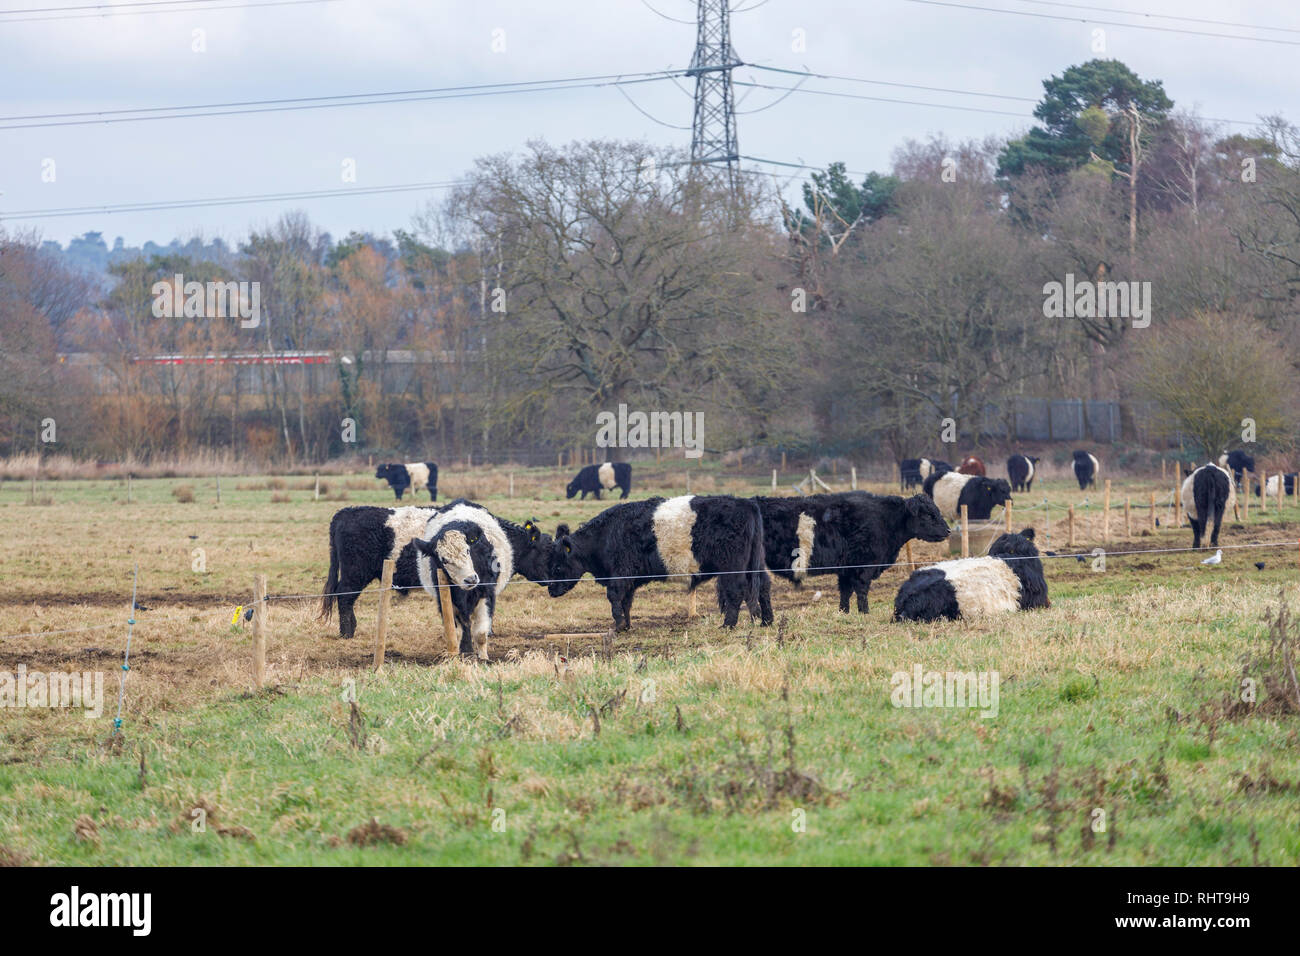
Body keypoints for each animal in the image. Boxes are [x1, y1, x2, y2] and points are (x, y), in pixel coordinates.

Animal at [318, 500, 552, 642]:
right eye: (547, 550)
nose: (554, 582)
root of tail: (346, 512)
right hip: (355, 574)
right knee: (344, 597)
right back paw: (347, 632)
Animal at [546, 494, 766, 631]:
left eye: (557, 566)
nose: (550, 590)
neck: (606, 535)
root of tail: (745, 503)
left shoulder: (620, 575)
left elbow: (615, 597)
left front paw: (618, 626)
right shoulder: (630, 579)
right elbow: (627, 601)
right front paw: (627, 626)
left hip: (732, 567)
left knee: (736, 592)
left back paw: (728, 625)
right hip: (752, 565)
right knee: (760, 588)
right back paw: (764, 621)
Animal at [756, 492, 950, 615]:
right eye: (928, 515)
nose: (948, 530)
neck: (884, 520)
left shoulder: (846, 569)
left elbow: (845, 592)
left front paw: (844, 612)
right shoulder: (863, 566)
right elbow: (861, 590)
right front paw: (865, 613)